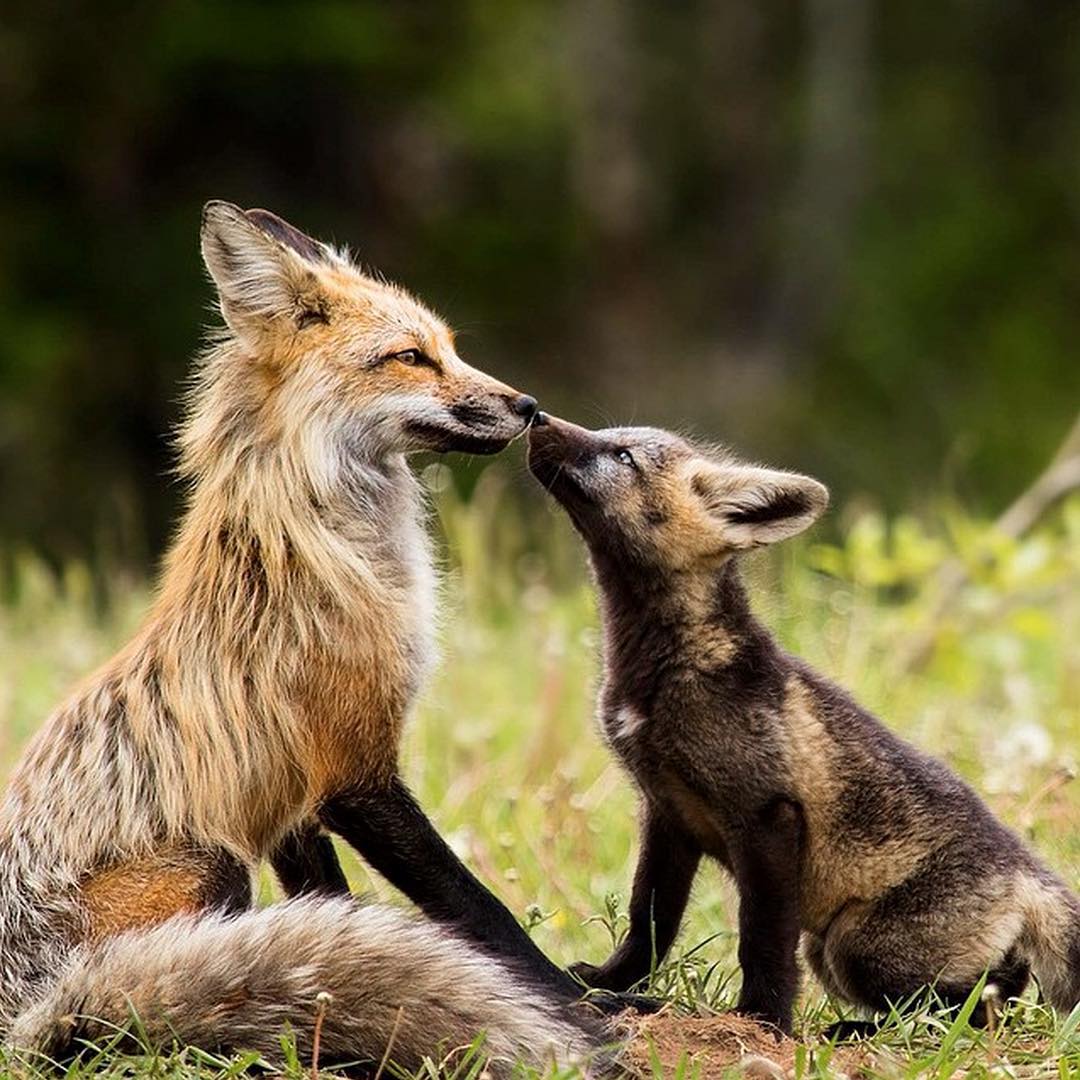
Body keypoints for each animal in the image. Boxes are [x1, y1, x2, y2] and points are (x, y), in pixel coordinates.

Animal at [0, 203, 613, 1075]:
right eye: (410, 357)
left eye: (451, 347)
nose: (527, 405)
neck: (326, 550)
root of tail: (22, 1007)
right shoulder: (351, 767)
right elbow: (479, 907)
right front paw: (586, 1003)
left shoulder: (292, 798)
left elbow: (332, 914)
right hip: (208, 862)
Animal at [526, 412, 1080, 1037]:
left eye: (623, 457)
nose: (536, 414)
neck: (667, 673)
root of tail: (1027, 869)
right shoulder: (667, 815)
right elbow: (649, 925)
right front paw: (609, 984)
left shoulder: (768, 817)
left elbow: (761, 943)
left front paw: (761, 1020)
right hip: (835, 951)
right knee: (997, 994)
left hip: (858, 948)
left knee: (966, 1013)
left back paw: (852, 1032)